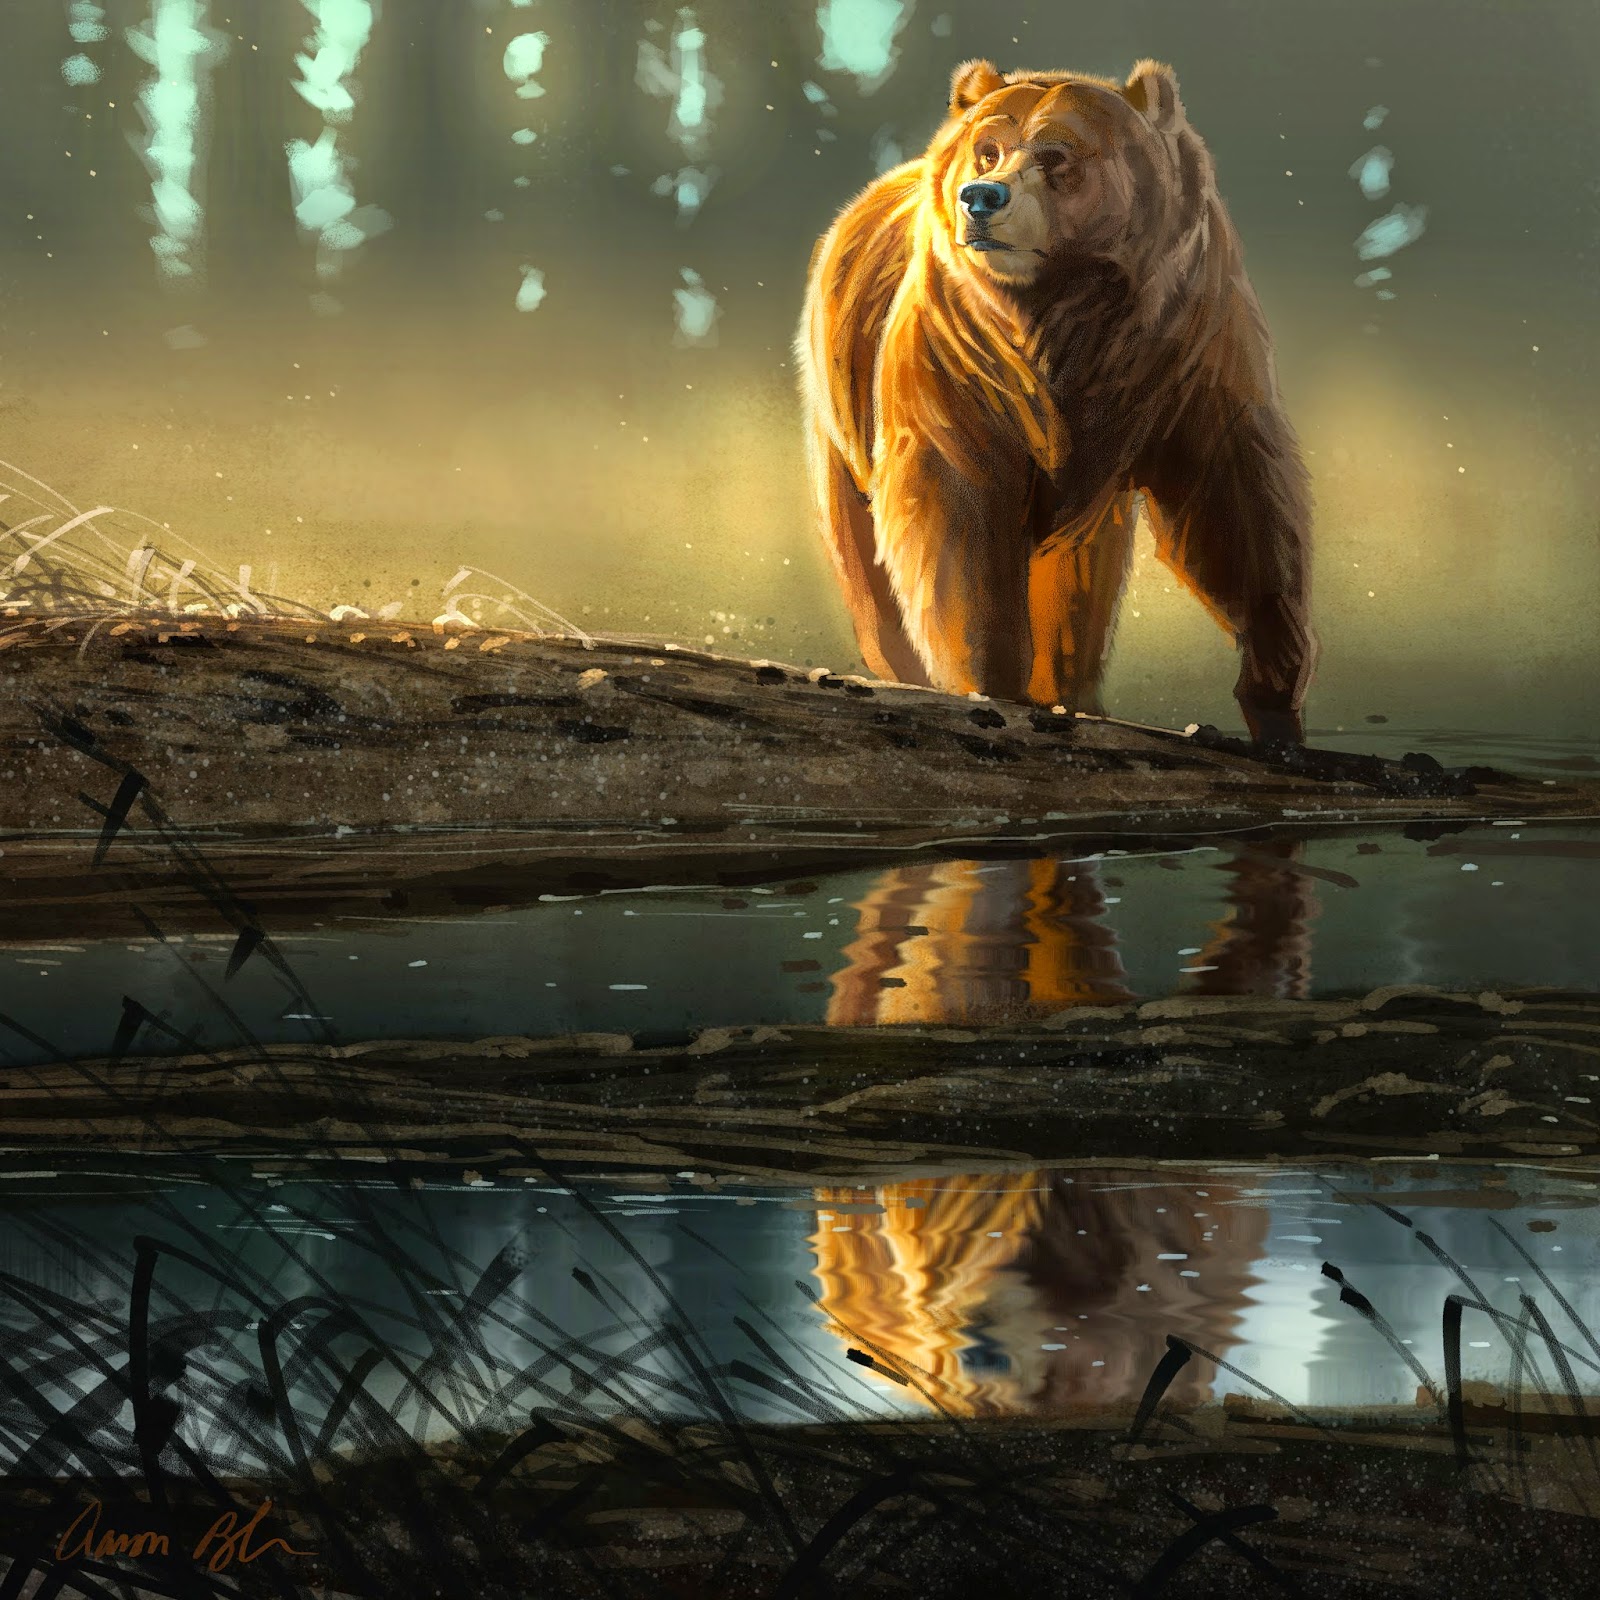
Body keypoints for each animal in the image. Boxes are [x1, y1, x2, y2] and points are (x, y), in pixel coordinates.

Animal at [796, 57, 1316, 748]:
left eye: (1056, 155)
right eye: (988, 149)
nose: (982, 196)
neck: (1062, 304)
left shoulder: (1190, 349)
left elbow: (1235, 501)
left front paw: (1275, 685)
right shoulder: (960, 359)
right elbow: (955, 518)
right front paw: (987, 679)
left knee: (1076, 583)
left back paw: (1072, 694)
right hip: (842, 409)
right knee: (865, 558)